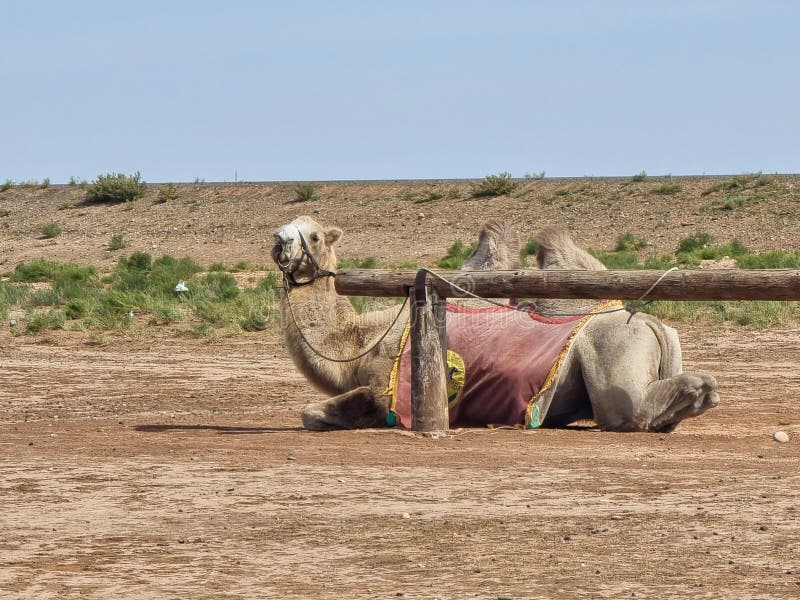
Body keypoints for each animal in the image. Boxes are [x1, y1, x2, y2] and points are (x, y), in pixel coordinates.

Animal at [271, 216, 718, 432]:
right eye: (283, 227)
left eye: (313, 236)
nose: (280, 241)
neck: (358, 342)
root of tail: (649, 322)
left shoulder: (387, 388)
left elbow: (312, 412)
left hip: (614, 366)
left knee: (633, 410)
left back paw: (705, 389)